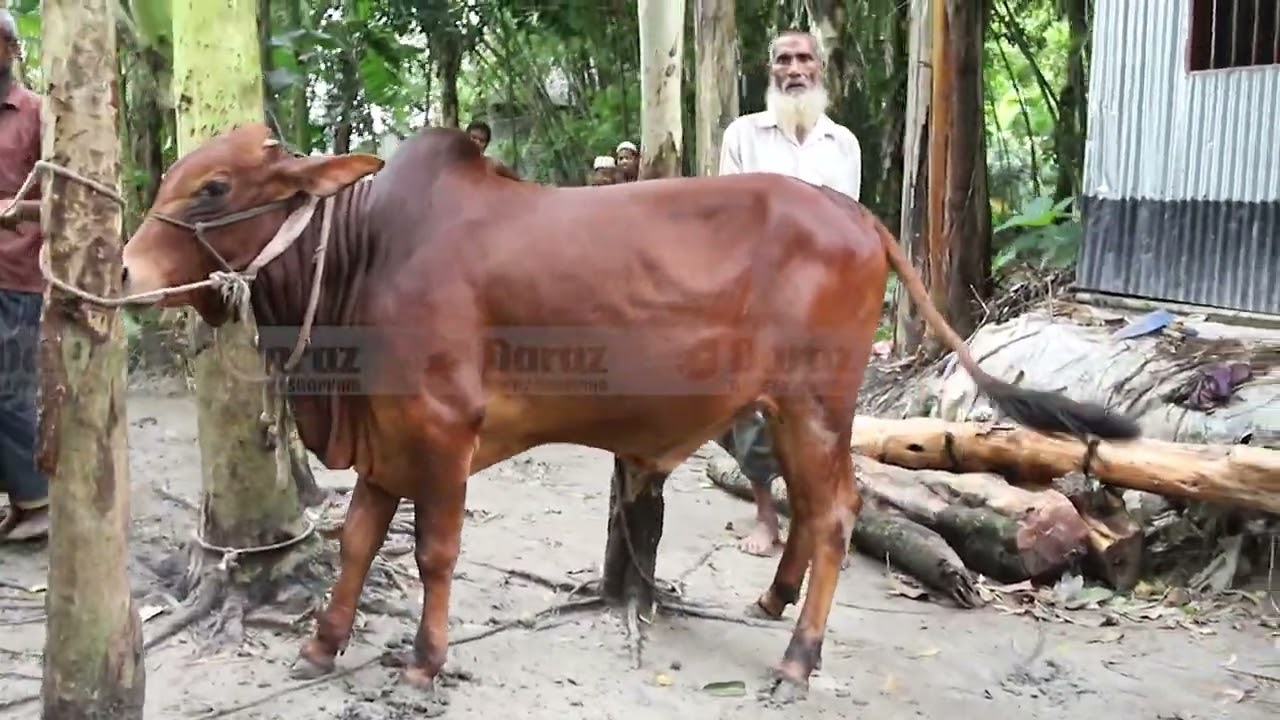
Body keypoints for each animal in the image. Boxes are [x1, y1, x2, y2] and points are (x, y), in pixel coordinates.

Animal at [117, 122, 1140, 703]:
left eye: (213, 188)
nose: (122, 271)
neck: (366, 257)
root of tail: (858, 216)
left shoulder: (443, 433)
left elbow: (433, 552)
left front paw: (422, 661)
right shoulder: (385, 439)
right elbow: (360, 542)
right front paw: (322, 646)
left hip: (817, 403)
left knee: (840, 513)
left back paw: (799, 659)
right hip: (789, 410)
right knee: (811, 506)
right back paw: (774, 602)